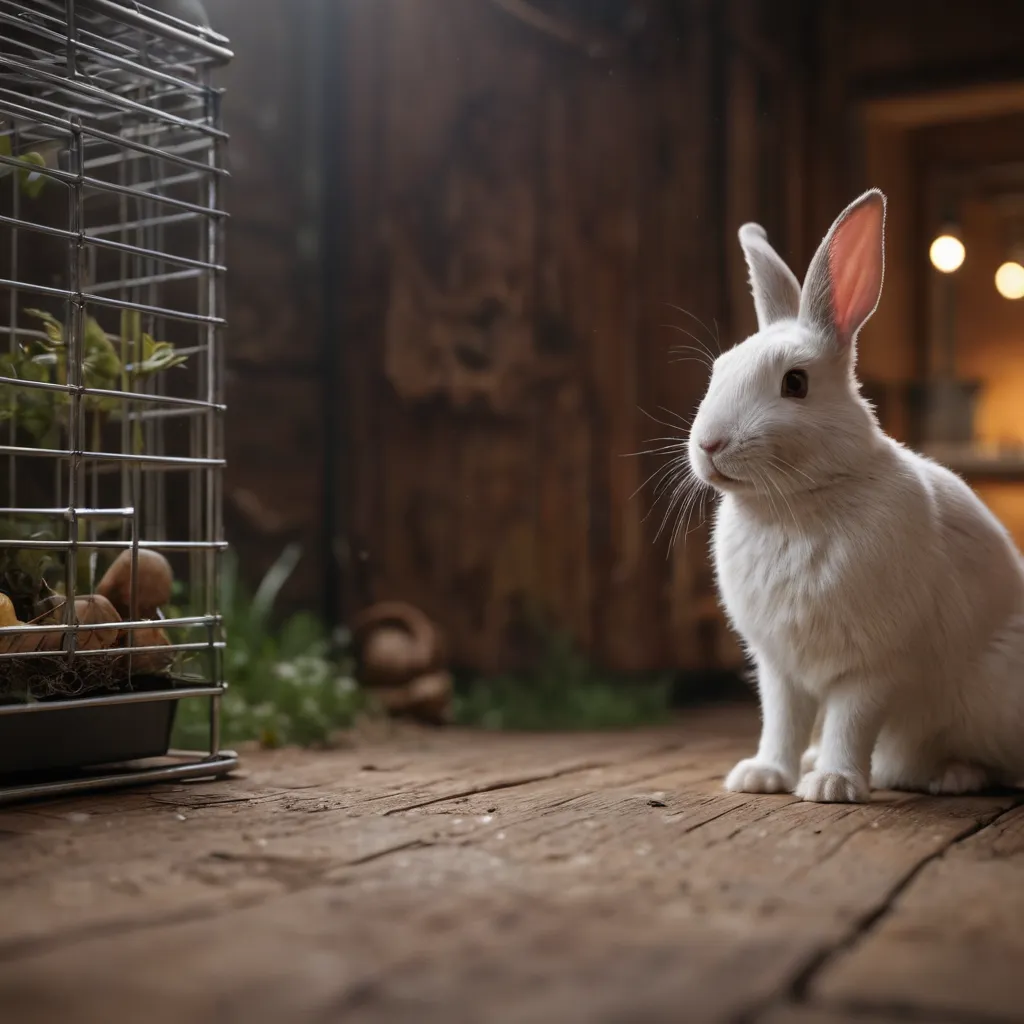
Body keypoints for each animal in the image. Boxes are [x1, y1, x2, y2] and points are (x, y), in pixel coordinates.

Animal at [687, 187, 1024, 803]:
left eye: (795, 383)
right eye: (719, 369)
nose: (709, 444)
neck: (794, 505)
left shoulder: (871, 666)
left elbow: (851, 720)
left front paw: (832, 785)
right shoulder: (779, 667)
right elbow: (782, 721)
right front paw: (763, 777)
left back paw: (953, 776)